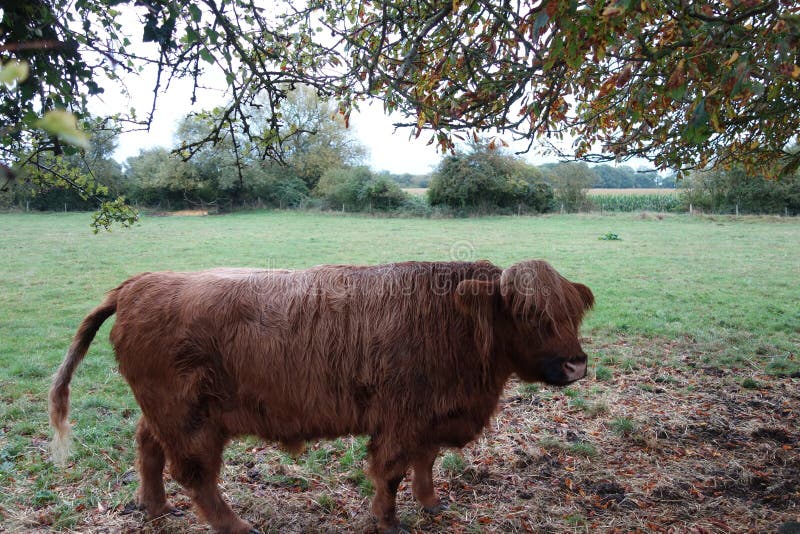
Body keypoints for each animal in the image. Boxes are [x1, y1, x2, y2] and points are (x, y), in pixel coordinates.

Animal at [49, 259, 593, 533]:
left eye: (571, 313)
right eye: (528, 313)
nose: (577, 364)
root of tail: (134, 286)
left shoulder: (430, 416)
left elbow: (425, 462)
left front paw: (432, 504)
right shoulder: (400, 419)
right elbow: (391, 472)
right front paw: (387, 521)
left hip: (164, 412)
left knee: (147, 446)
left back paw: (155, 509)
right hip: (189, 416)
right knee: (195, 474)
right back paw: (235, 526)